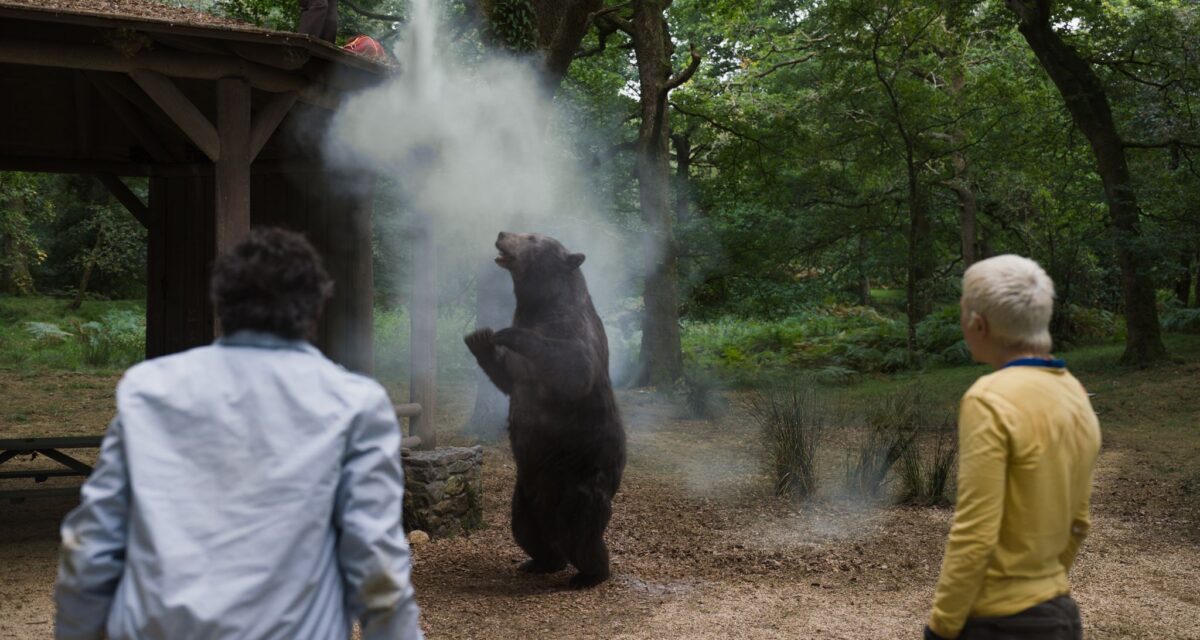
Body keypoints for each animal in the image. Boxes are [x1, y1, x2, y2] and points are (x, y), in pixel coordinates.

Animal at [464, 231, 627, 589]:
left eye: (532, 237)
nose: (502, 234)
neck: (541, 304)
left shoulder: (574, 332)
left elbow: (572, 366)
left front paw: (504, 333)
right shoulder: (520, 369)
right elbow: (508, 377)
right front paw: (480, 338)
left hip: (578, 482)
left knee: (581, 532)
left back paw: (589, 575)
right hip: (525, 491)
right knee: (526, 529)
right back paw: (539, 562)